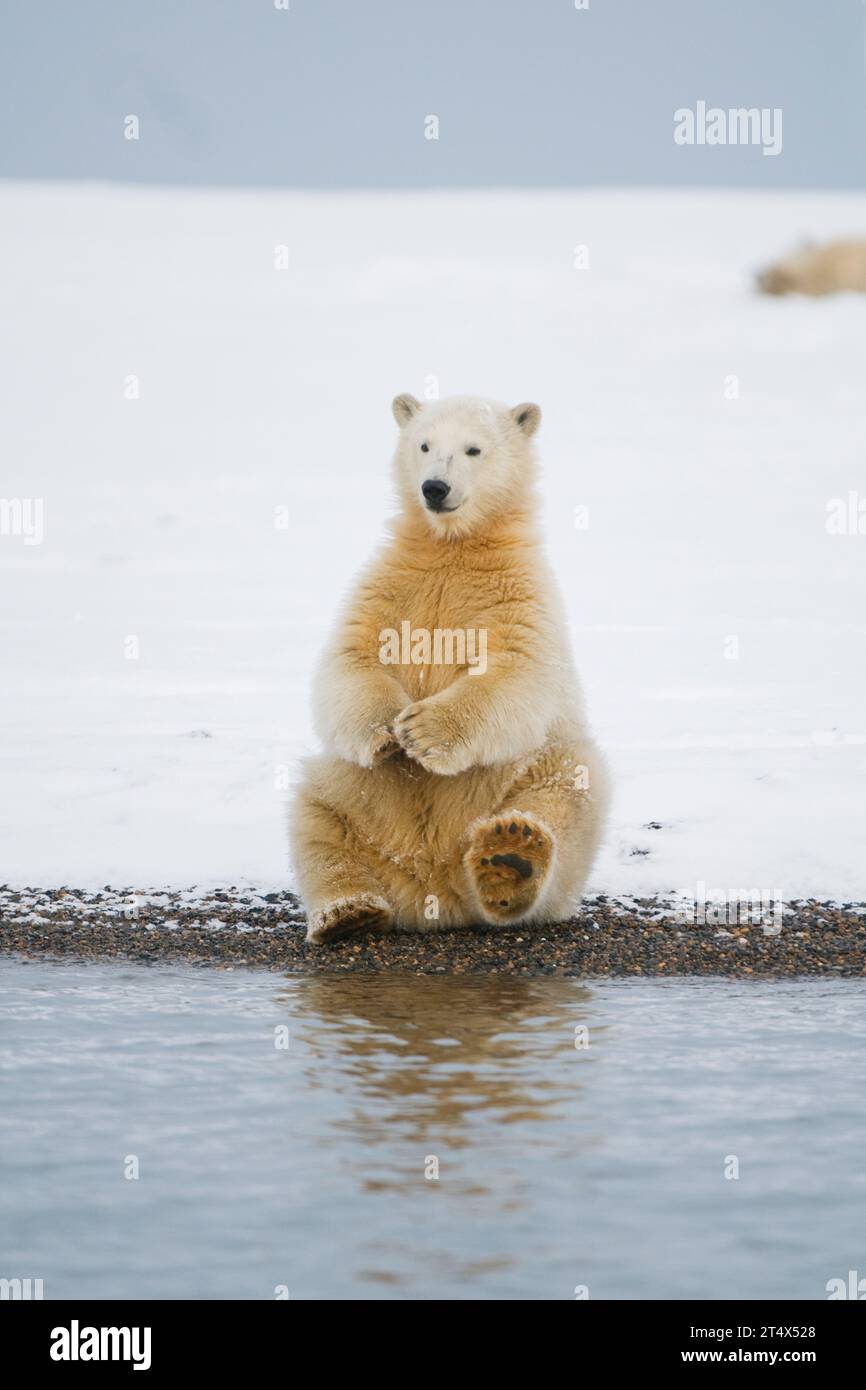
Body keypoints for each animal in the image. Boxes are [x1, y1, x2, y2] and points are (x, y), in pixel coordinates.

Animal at [290, 393, 610, 944]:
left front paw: (421, 732)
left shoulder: (519, 594)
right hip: (357, 792)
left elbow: (517, 671)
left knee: (569, 787)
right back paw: (347, 912)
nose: (434, 488)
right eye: (424, 444)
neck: (453, 547)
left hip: (522, 780)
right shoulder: (391, 582)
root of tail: (432, 885)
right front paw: (386, 730)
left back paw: (511, 857)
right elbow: (353, 654)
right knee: (320, 816)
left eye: (473, 448)